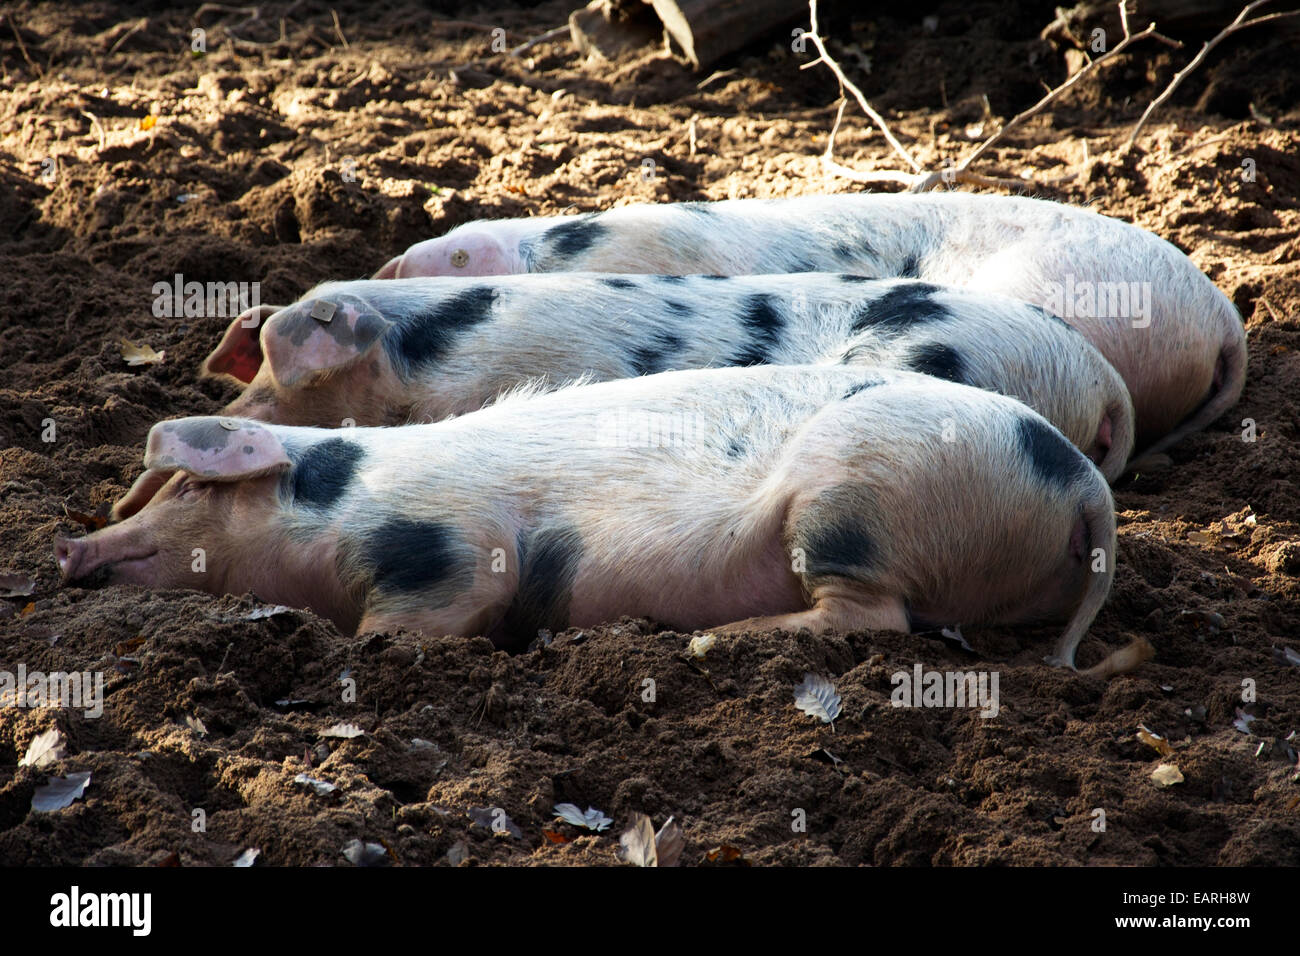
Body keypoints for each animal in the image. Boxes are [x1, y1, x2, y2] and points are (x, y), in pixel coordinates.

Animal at [61, 366, 1117, 670]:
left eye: (191, 490)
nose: (71, 545)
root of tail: (1078, 480)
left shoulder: (451, 544)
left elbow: (425, 618)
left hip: (854, 496)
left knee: (876, 617)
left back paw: (710, 644)